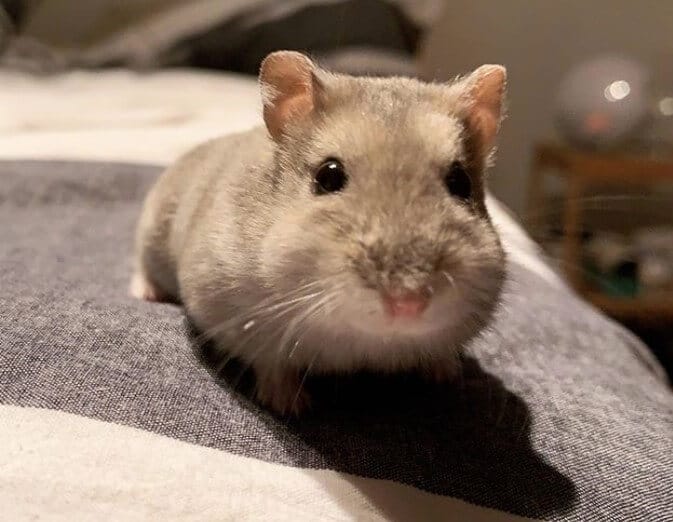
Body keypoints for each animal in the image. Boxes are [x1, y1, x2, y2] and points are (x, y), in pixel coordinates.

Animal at [131, 51, 507, 415]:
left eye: (460, 181)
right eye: (328, 176)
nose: (407, 304)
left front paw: (447, 377)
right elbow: (272, 366)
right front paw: (291, 408)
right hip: (152, 232)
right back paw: (145, 294)